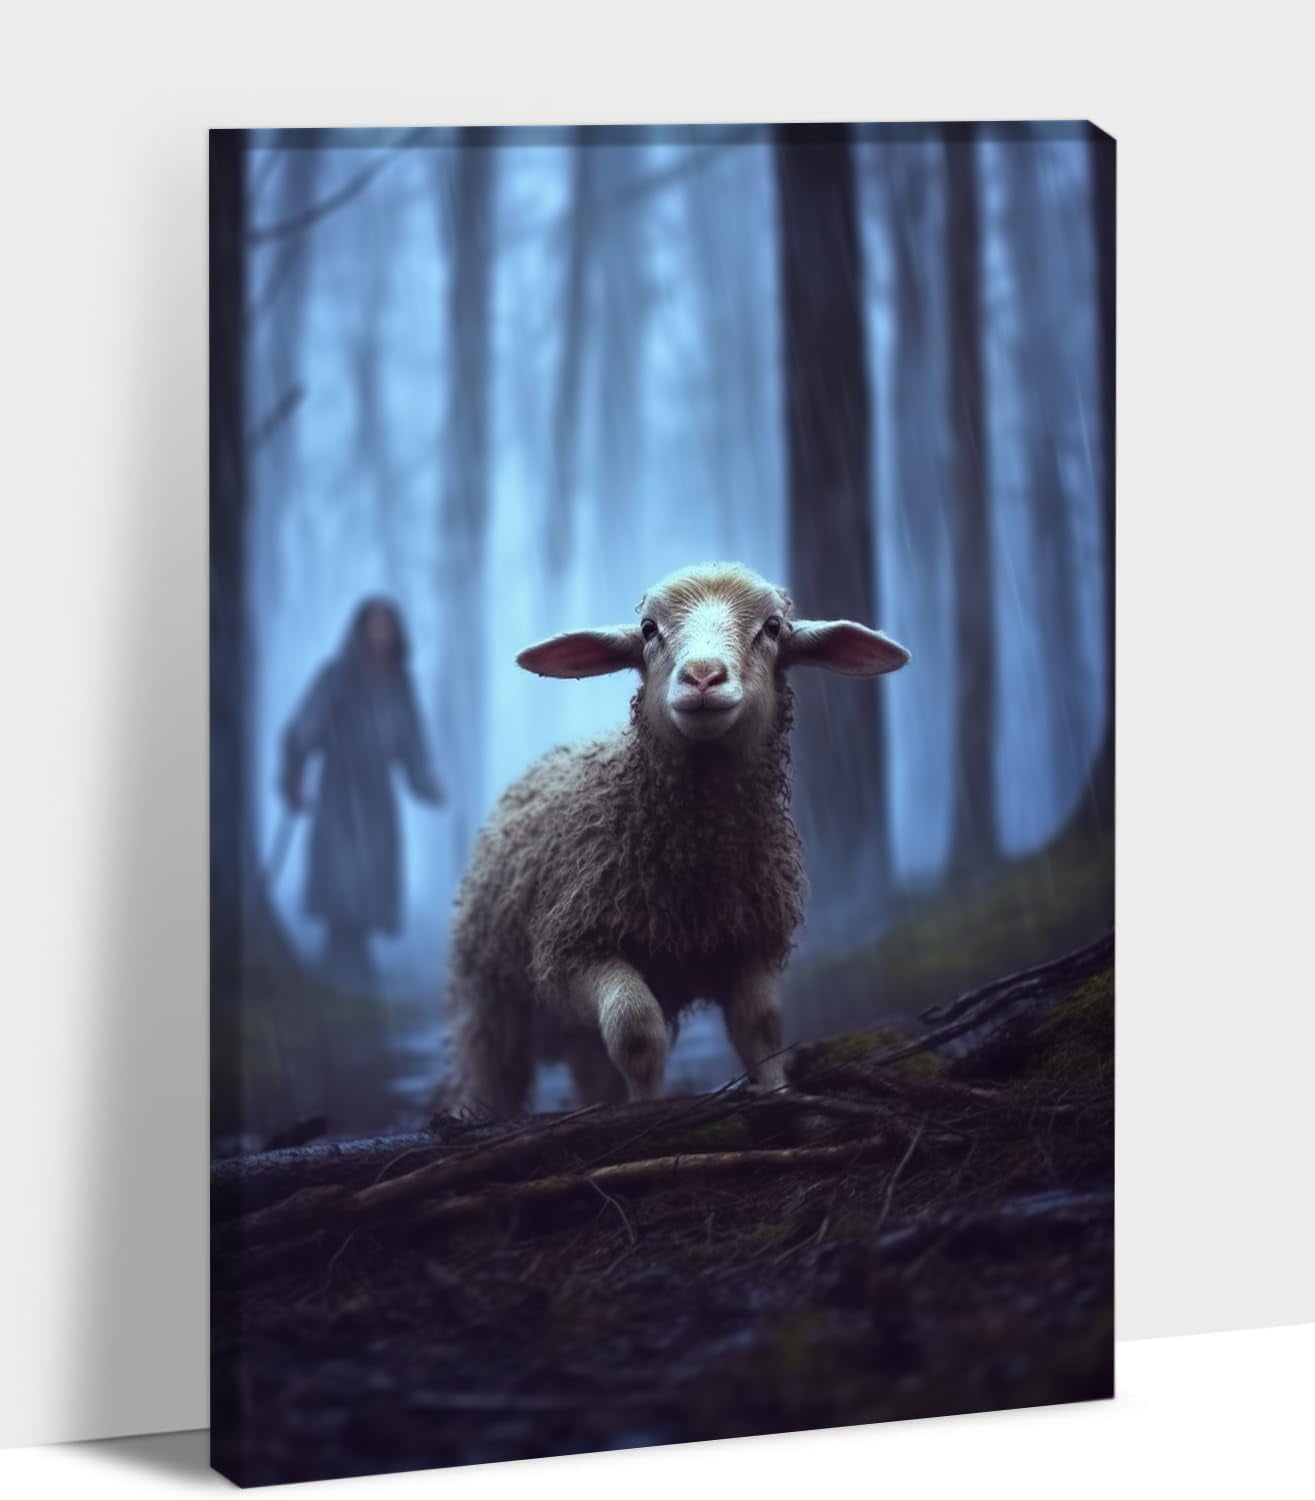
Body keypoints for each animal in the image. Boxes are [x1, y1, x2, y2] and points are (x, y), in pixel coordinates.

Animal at [442, 561, 909, 1116]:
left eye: (773, 627)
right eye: (648, 629)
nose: (702, 677)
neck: (695, 856)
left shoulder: (751, 942)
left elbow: (761, 1027)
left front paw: (780, 1093)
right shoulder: (569, 950)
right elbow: (635, 1031)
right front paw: (647, 1107)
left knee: (591, 1068)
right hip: (487, 994)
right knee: (487, 1065)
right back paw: (470, 1113)